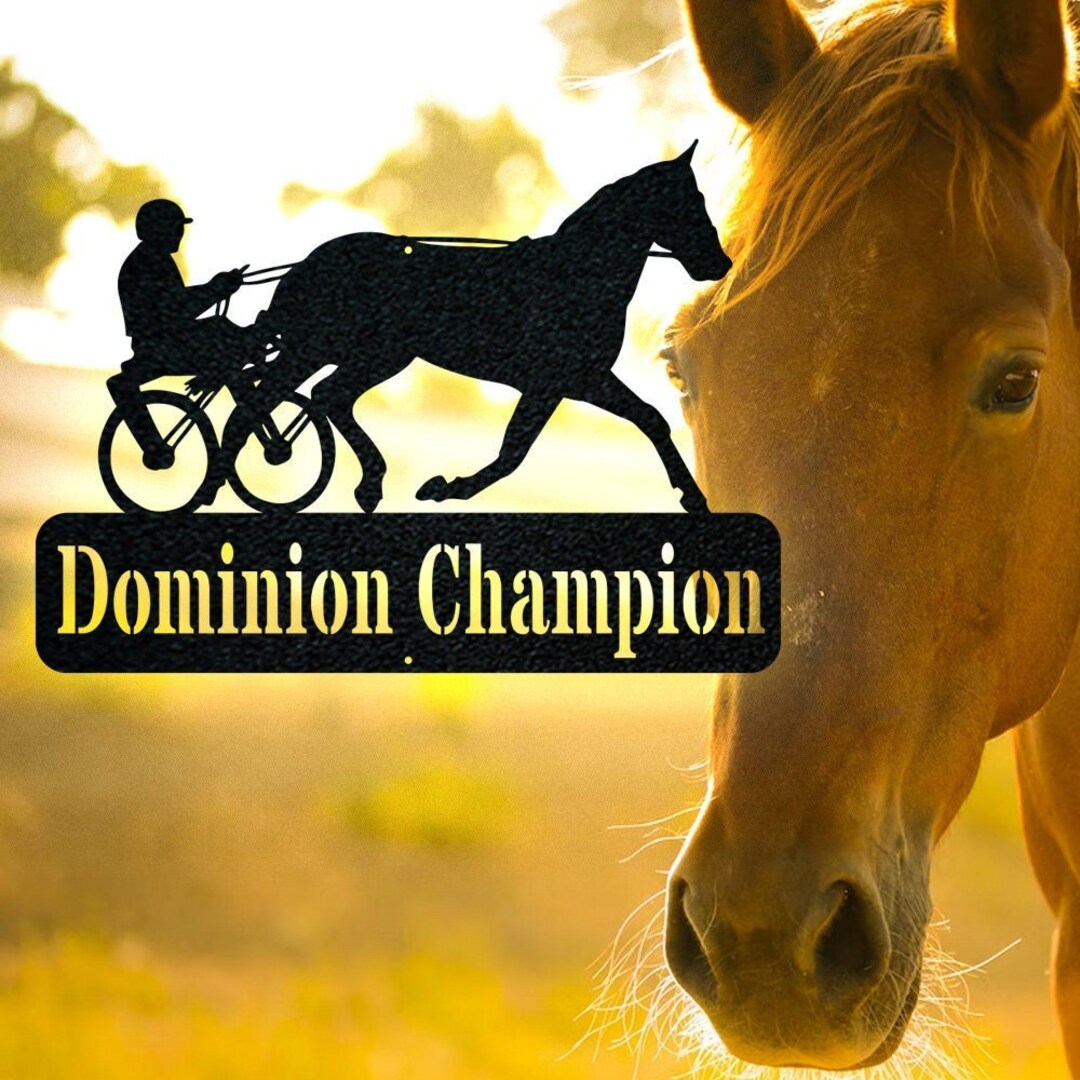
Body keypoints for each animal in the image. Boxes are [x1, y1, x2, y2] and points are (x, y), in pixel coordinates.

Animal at [257, 144, 731, 513]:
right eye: (690, 202)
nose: (720, 262)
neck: (574, 274)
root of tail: (308, 263)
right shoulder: (557, 382)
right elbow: (513, 452)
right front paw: (447, 488)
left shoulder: (581, 380)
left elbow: (649, 419)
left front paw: (693, 497)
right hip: (352, 353)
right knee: (304, 394)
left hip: (348, 354)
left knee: (308, 395)